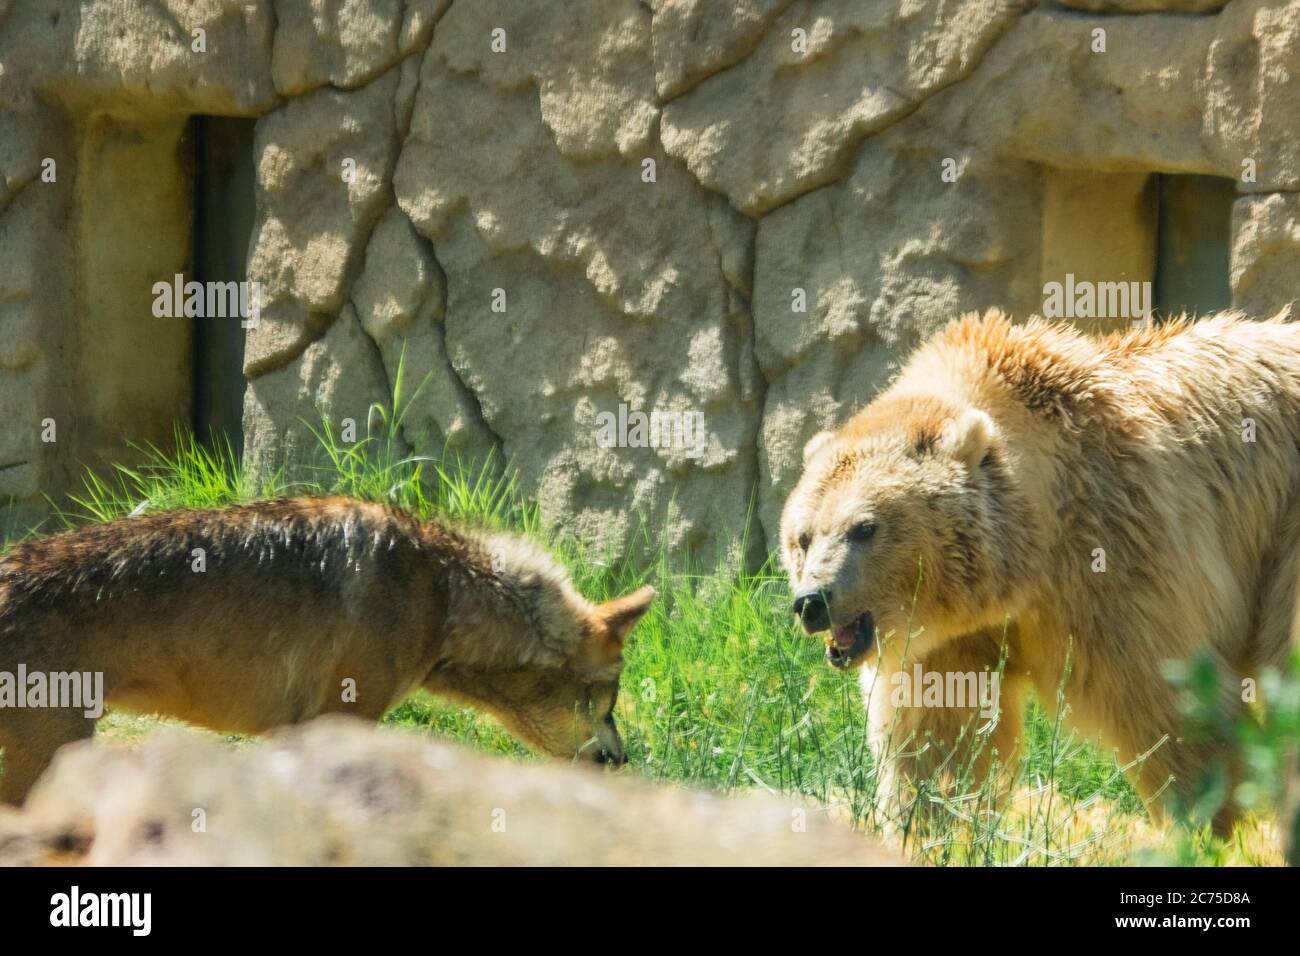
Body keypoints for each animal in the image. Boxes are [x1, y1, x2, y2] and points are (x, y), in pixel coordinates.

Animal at [779, 308, 1300, 831]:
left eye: (864, 528)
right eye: (802, 537)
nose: (811, 601)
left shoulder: (1118, 556)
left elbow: (1165, 704)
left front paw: (1202, 824)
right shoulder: (943, 639)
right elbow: (938, 732)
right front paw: (927, 824)